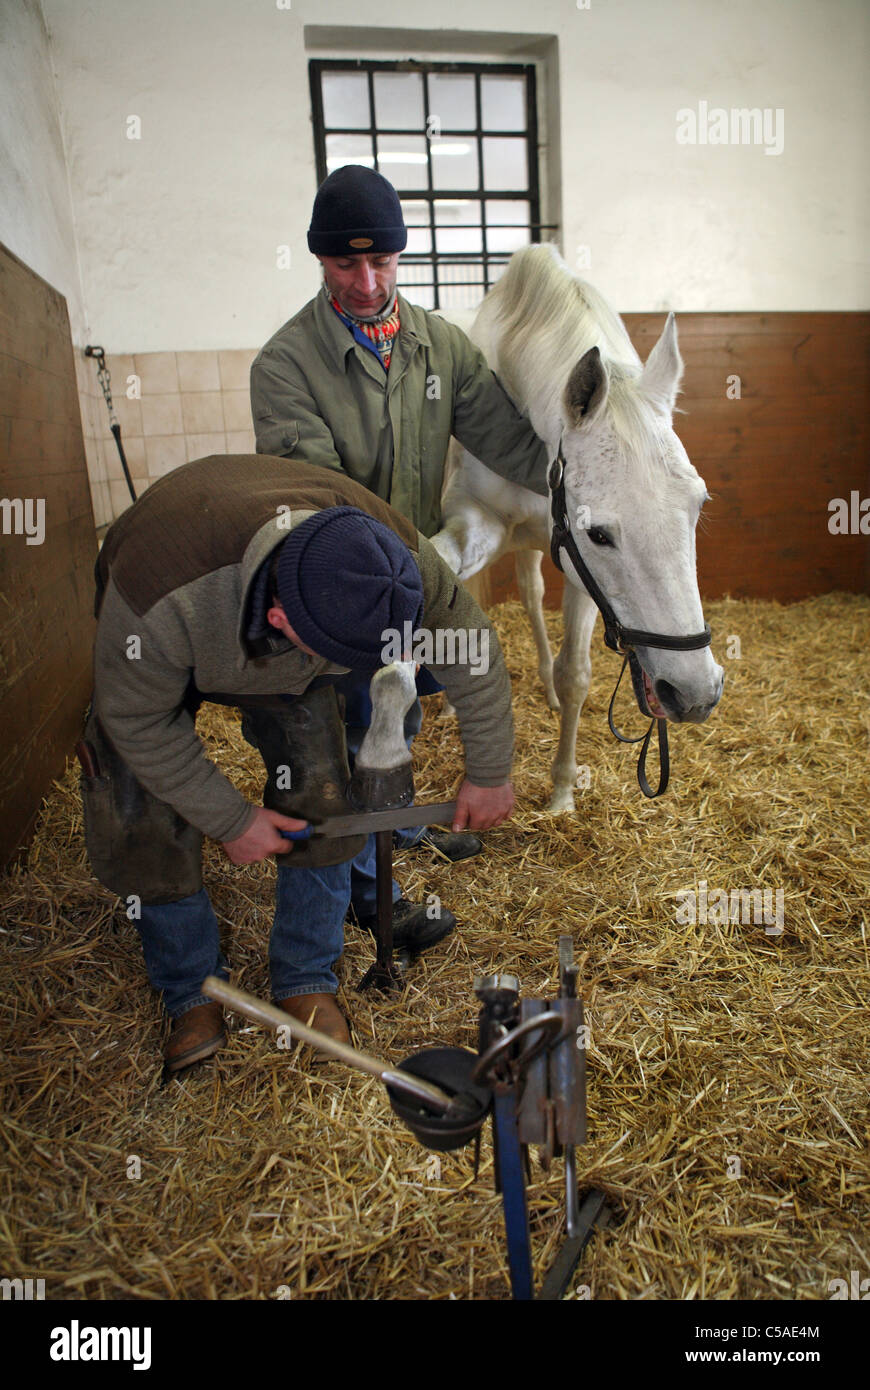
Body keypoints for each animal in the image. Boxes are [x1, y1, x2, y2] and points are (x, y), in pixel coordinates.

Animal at [430, 243, 724, 813]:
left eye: (698, 507)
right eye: (599, 534)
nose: (694, 693)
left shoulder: (582, 576)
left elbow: (575, 676)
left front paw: (563, 790)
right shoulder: (479, 520)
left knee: (529, 594)